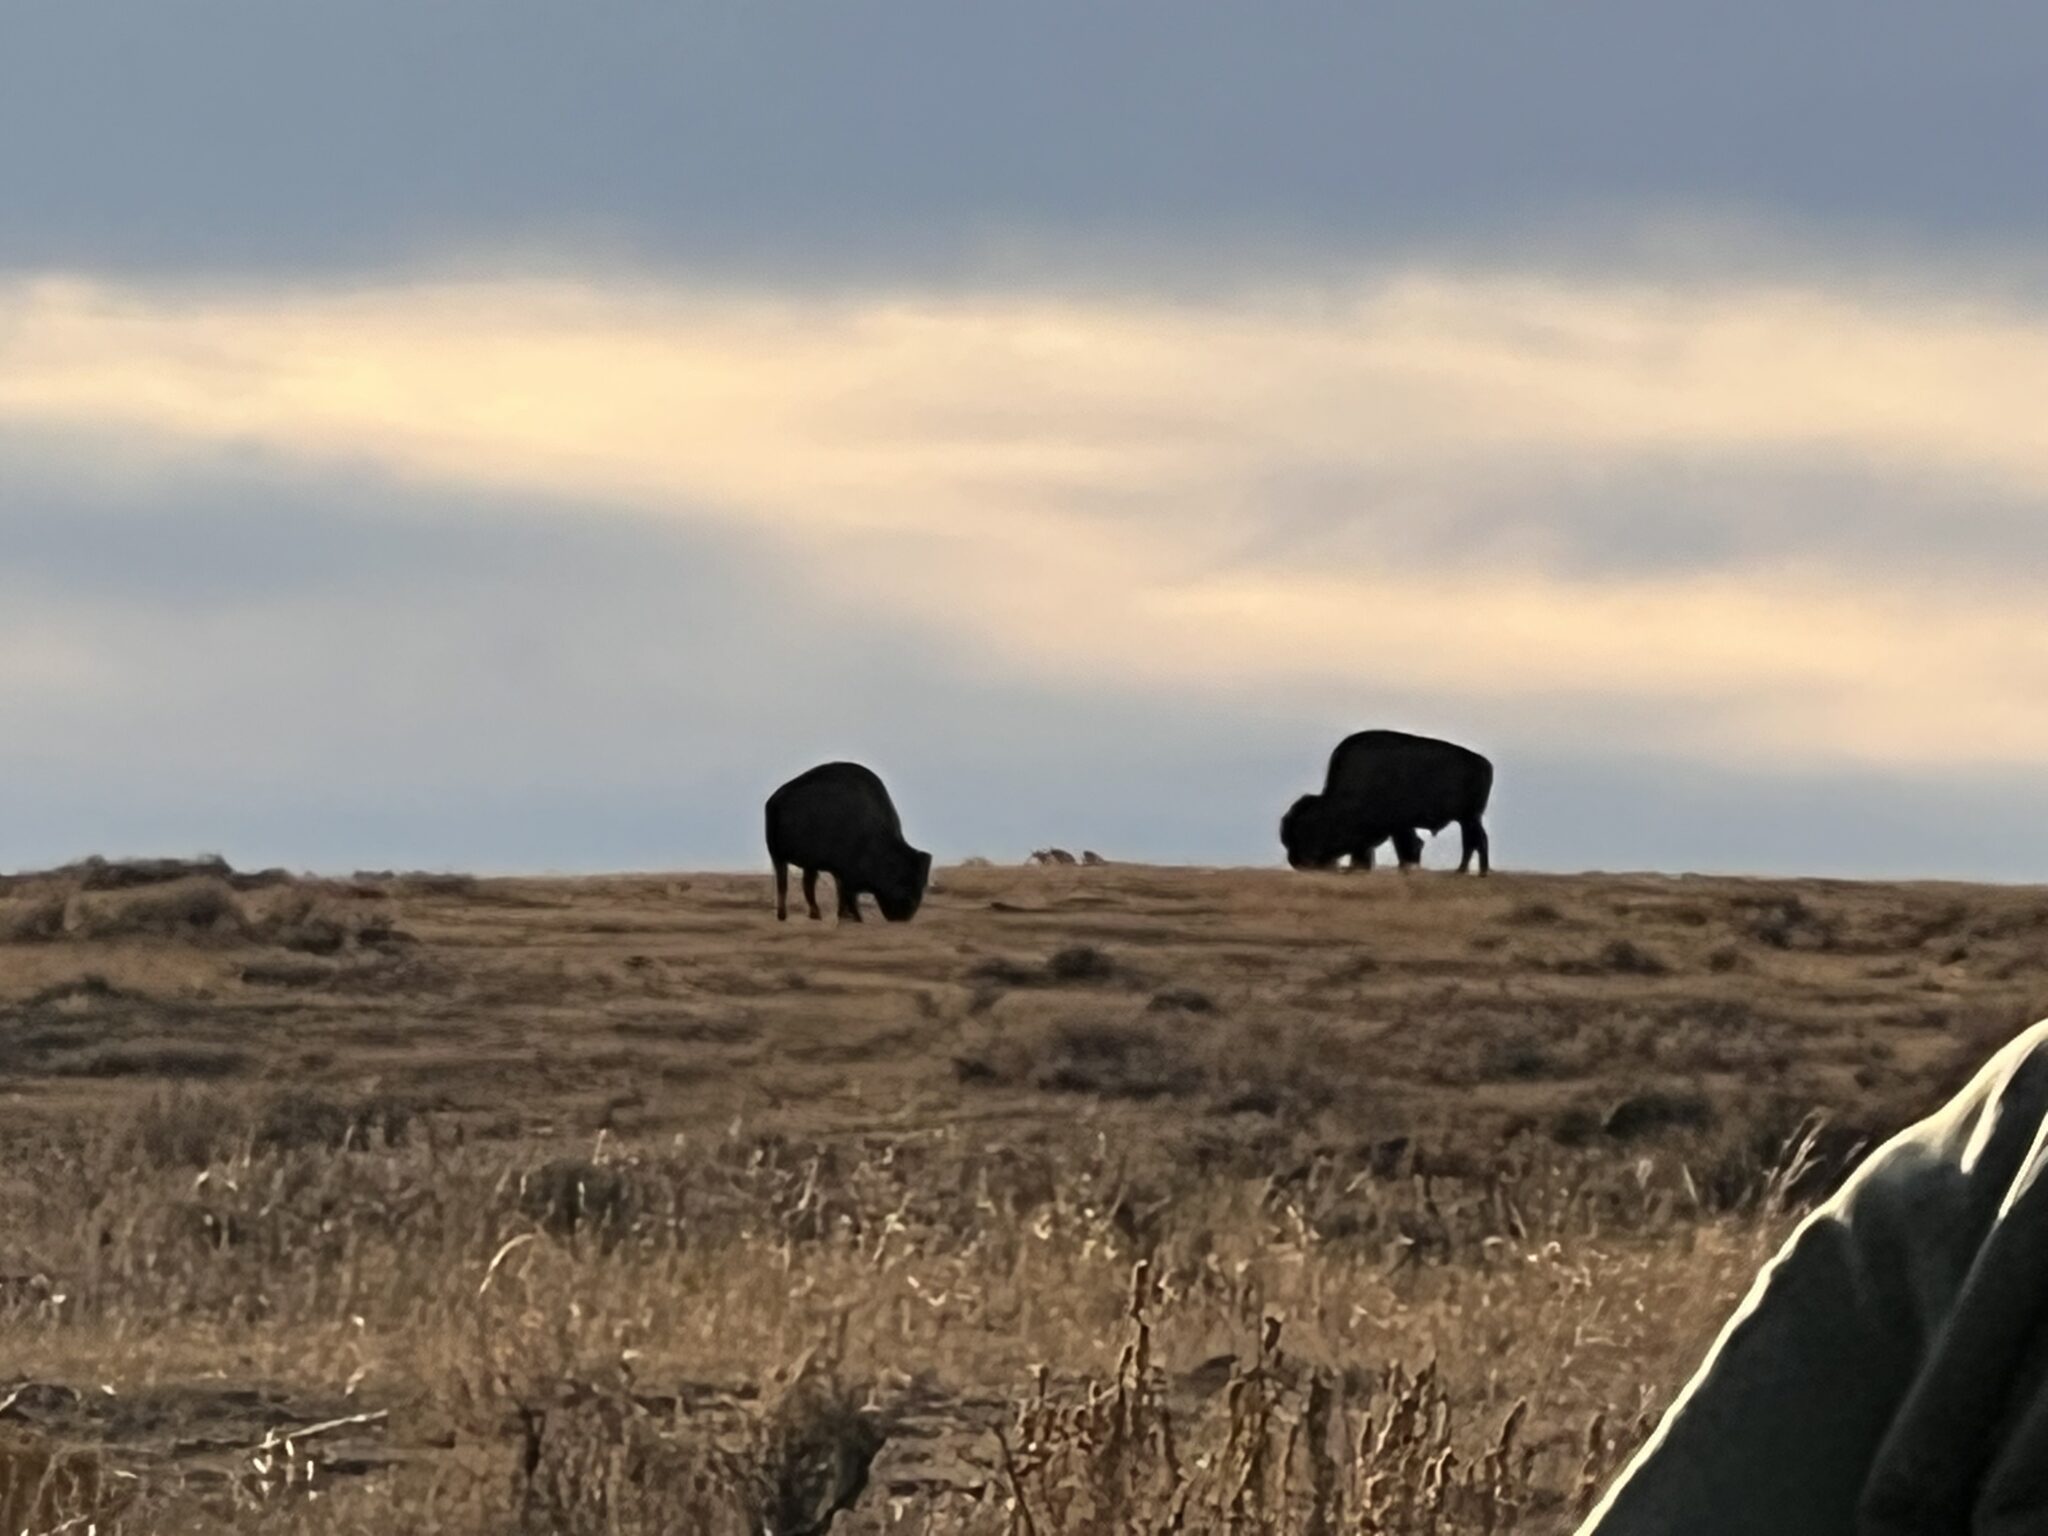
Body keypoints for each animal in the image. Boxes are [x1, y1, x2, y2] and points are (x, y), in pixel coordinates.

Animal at [765, 761, 932, 922]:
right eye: (903, 880)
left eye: (921, 883)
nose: (904, 916)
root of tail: (773, 800)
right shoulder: (846, 875)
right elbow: (848, 896)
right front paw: (857, 918)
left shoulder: (839, 873)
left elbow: (842, 893)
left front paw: (844, 915)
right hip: (777, 857)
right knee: (783, 884)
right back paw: (782, 915)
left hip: (809, 865)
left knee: (807, 884)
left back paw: (815, 915)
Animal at [1280, 729, 1493, 875]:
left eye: (1307, 832)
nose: (1298, 861)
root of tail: (1484, 763)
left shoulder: (1398, 826)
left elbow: (1408, 847)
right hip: (1468, 819)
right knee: (1474, 841)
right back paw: (1470, 871)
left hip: (1469, 818)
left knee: (1476, 841)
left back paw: (1469, 871)